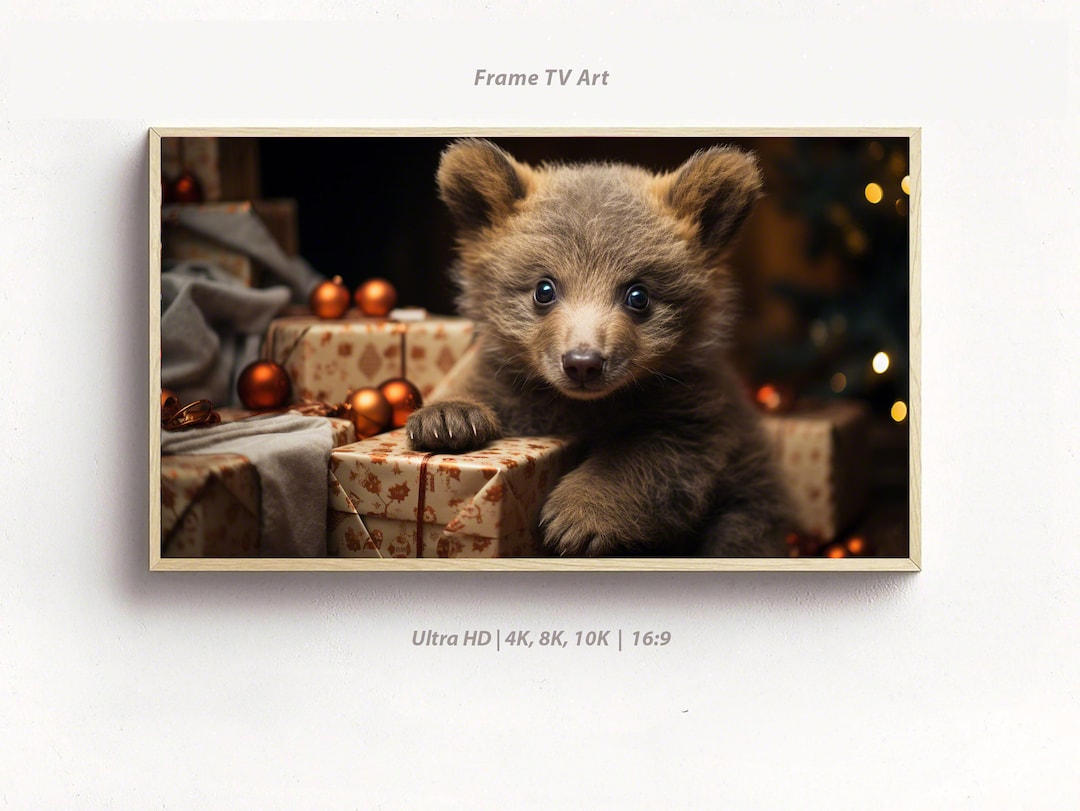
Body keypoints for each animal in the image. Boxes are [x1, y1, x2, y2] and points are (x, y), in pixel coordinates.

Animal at [405, 139, 791, 557]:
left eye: (638, 295)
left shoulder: (694, 409)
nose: (583, 362)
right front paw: (449, 418)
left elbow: (652, 461)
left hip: (749, 498)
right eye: (544, 288)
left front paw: (577, 516)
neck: (581, 407)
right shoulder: (511, 384)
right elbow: (468, 386)